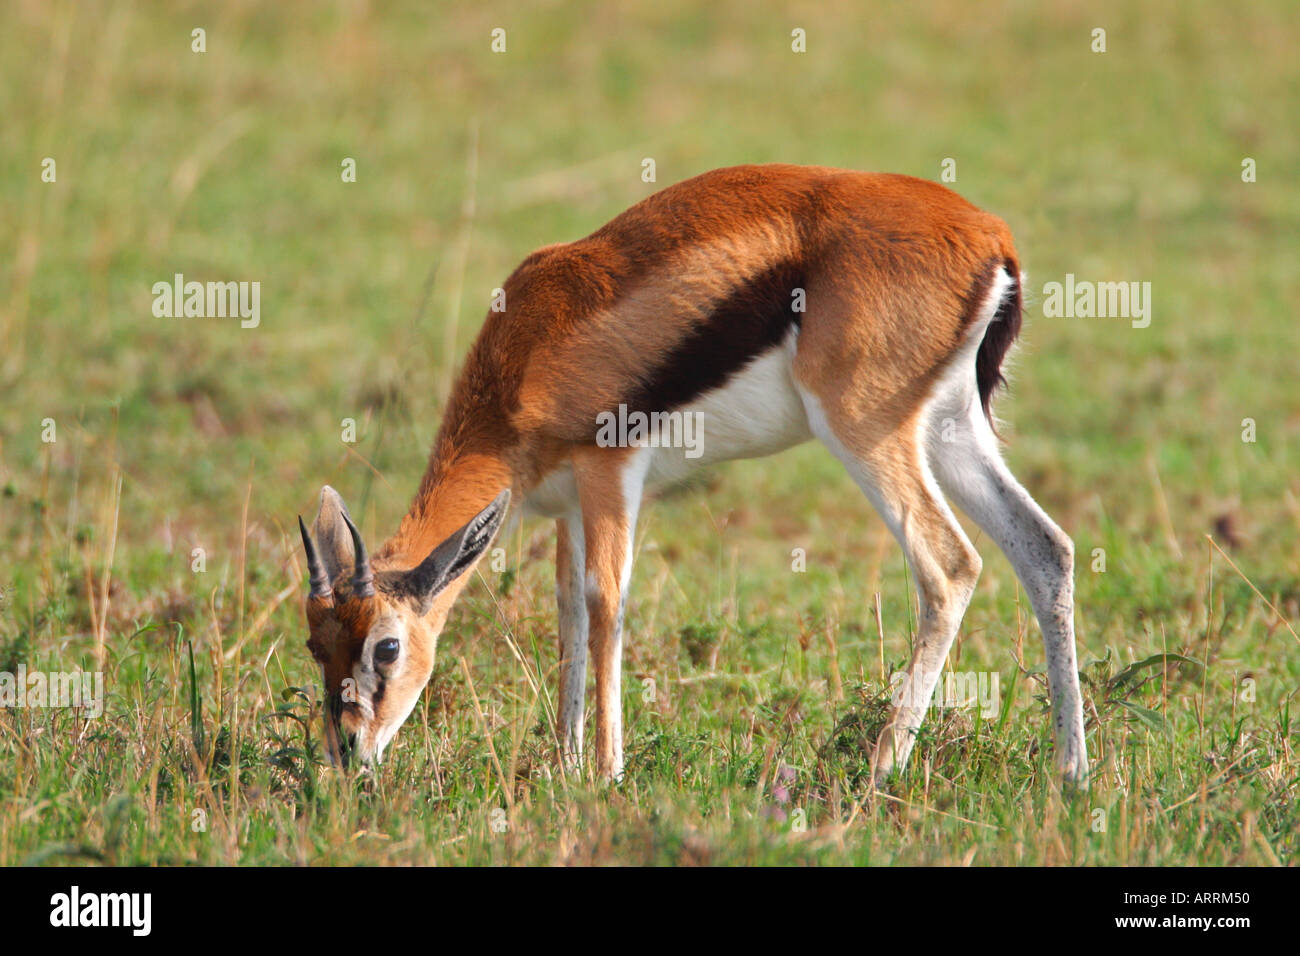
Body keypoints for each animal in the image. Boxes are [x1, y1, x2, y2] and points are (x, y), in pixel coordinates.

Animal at [297, 163, 1089, 787]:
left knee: (949, 566)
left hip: (866, 431)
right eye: (314, 644)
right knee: (1045, 548)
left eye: (387, 646)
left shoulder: (609, 470)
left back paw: (877, 772)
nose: (348, 752)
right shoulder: (568, 506)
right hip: (952, 429)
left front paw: (607, 775)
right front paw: (565, 767)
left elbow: (605, 604)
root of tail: (988, 235)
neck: (525, 352)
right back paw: (1070, 773)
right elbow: (568, 614)